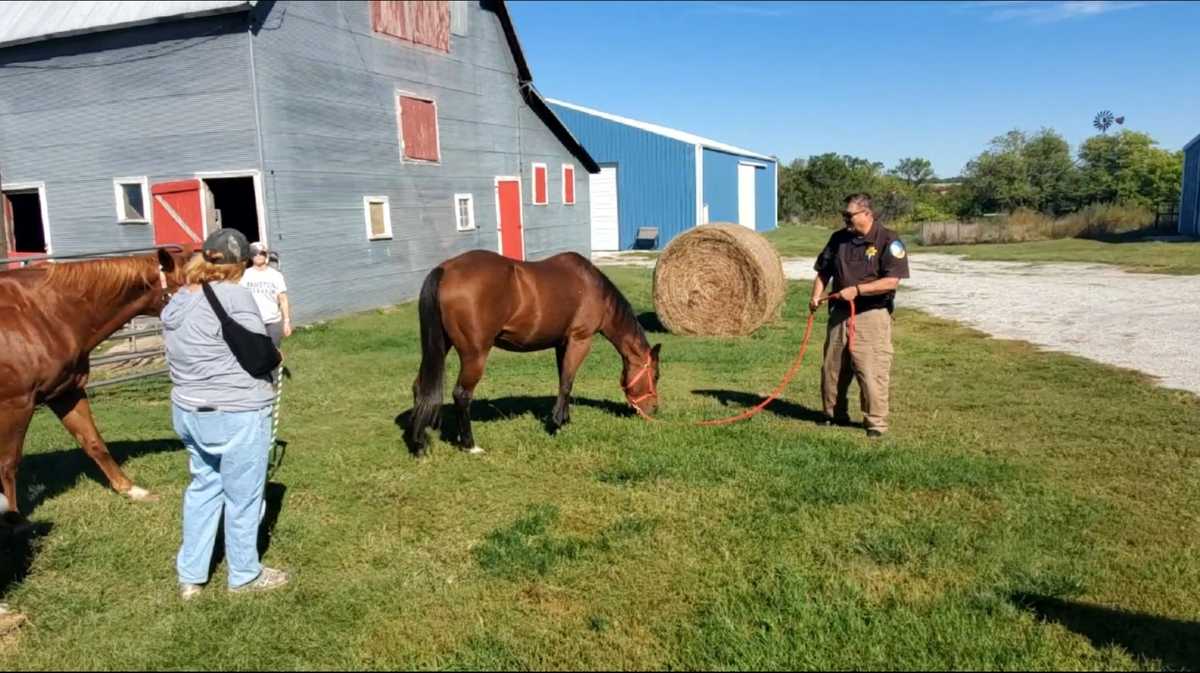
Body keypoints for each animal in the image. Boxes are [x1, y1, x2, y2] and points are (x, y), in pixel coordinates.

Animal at [0, 249, 186, 524]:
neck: (42, 314)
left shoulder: (66, 392)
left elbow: (94, 442)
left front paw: (131, 489)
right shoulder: (16, 404)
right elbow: (9, 462)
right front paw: (15, 519)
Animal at [406, 250, 661, 455]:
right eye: (656, 376)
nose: (654, 410)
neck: (592, 287)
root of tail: (445, 269)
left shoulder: (562, 343)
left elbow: (564, 381)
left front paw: (564, 419)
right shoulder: (580, 340)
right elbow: (567, 382)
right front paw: (556, 423)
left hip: (440, 345)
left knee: (420, 386)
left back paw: (418, 444)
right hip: (474, 354)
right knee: (461, 394)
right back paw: (470, 446)